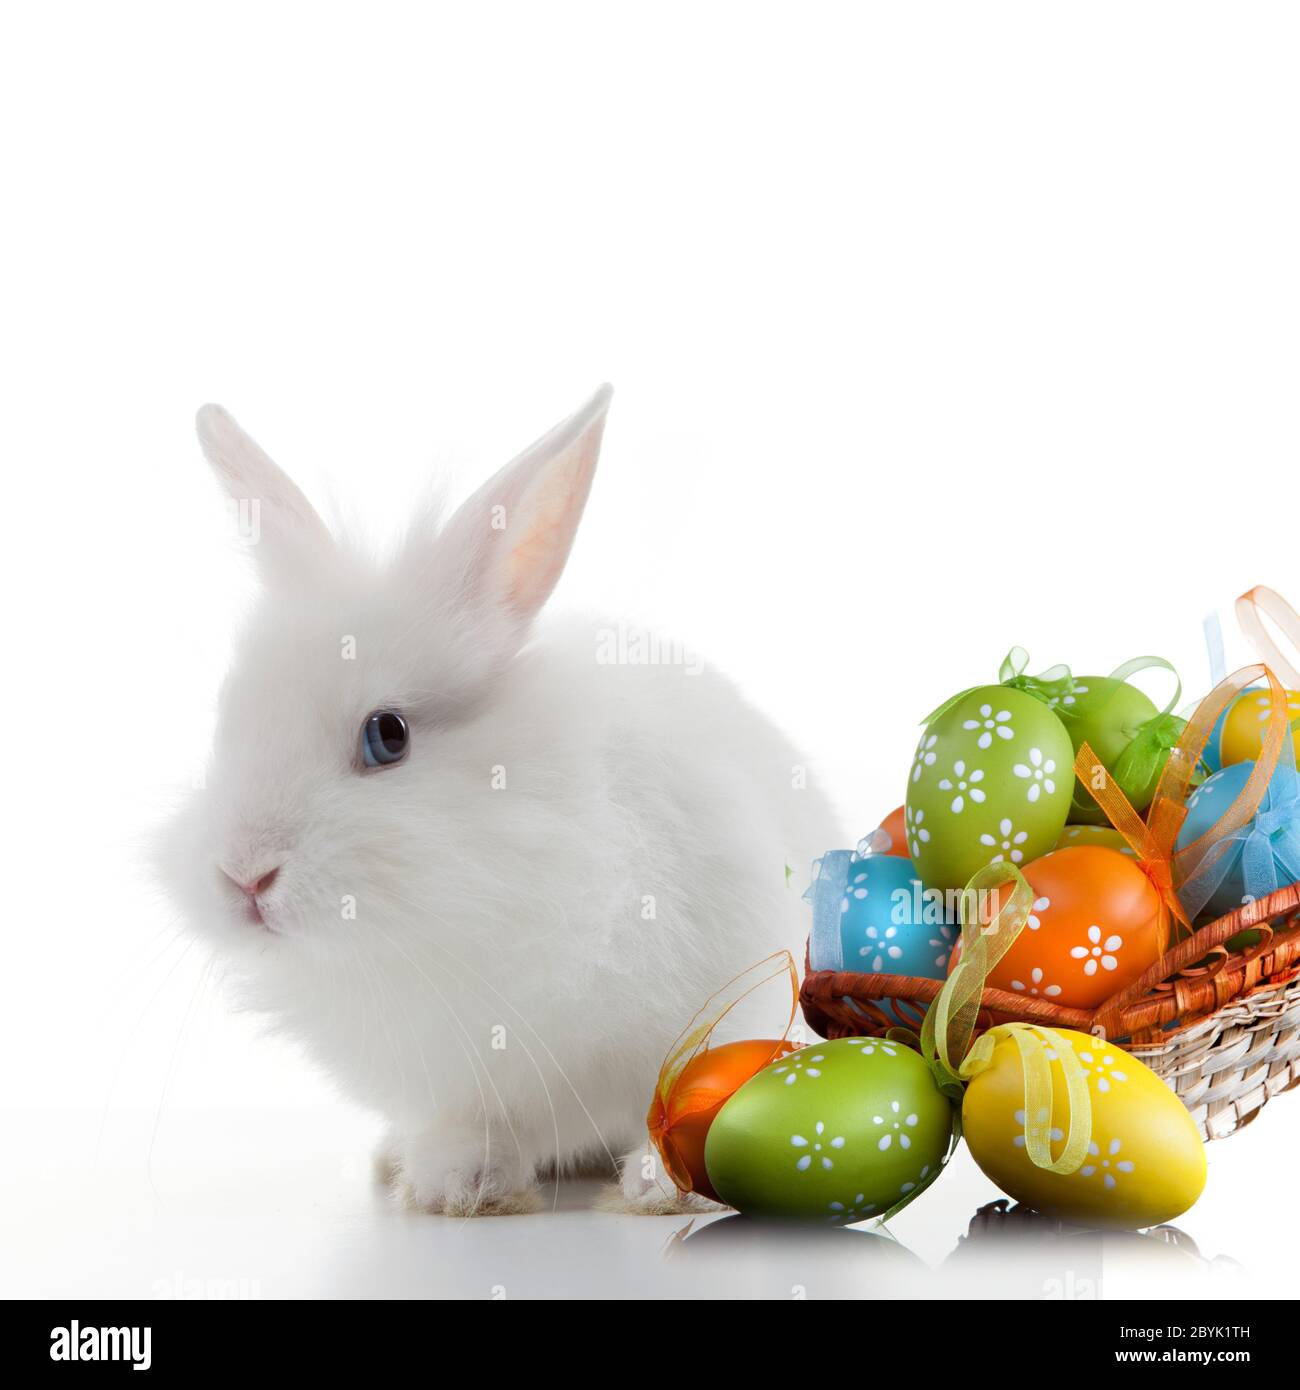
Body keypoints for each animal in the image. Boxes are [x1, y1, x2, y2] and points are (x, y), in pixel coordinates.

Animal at [157, 385, 845, 1215]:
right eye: (228, 720)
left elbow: (689, 1083)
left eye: (387, 735)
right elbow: (473, 1122)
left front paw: (660, 1186)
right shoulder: (455, 1077)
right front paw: (460, 1186)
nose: (243, 875)